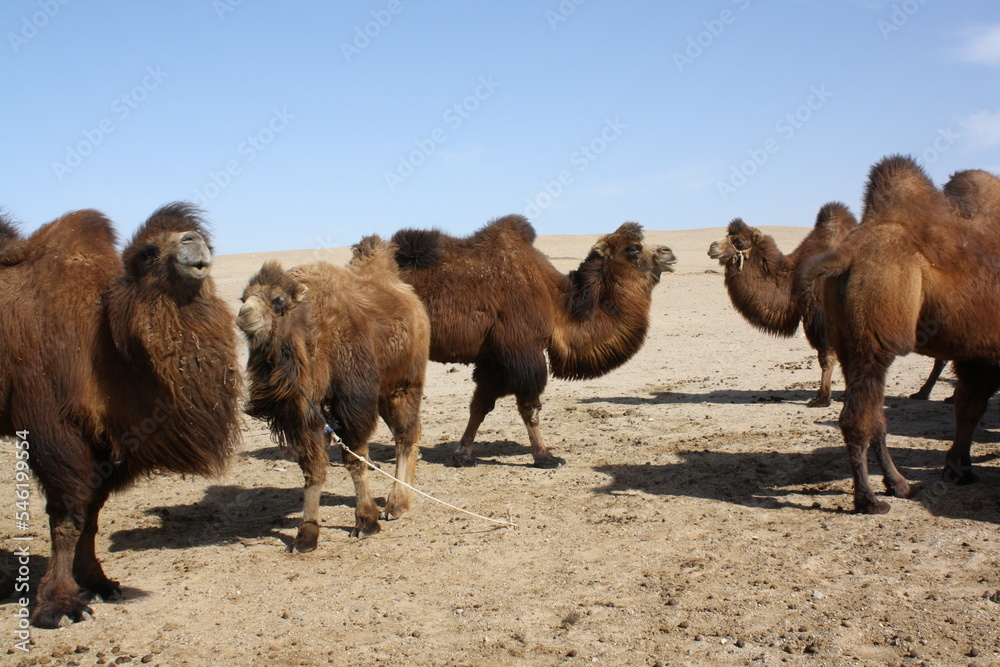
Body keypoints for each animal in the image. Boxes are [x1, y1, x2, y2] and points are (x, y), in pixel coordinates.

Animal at [0, 203, 242, 627]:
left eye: (206, 242)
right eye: (148, 251)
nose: (192, 242)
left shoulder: (108, 443)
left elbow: (92, 515)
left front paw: (98, 582)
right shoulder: (52, 429)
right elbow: (67, 515)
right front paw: (60, 605)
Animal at [238, 235, 430, 553]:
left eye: (278, 301)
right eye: (243, 299)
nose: (244, 315)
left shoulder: (351, 402)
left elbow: (355, 458)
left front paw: (366, 522)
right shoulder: (304, 408)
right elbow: (312, 466)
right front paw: (305, 536)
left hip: (404, 382)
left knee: (407, 434)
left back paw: (396, 504)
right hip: (383, 393)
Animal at [392, 215, 675, 467]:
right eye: (633, 248)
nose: (668, 252)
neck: (554, 299)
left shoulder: (494, 358)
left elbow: (480, 405)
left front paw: (463, 455)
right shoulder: (523, 350)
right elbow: (530, 407)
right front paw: (545, 457)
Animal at [798, 156, 1000, 513]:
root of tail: (847, 254)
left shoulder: (979, 355)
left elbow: (969, 406)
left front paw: (960, 470)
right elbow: (972, 406)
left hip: (850, 344)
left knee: (875, 417)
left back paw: (899, 485)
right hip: (874, 342)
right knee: (857, 419)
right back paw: (869, 500)